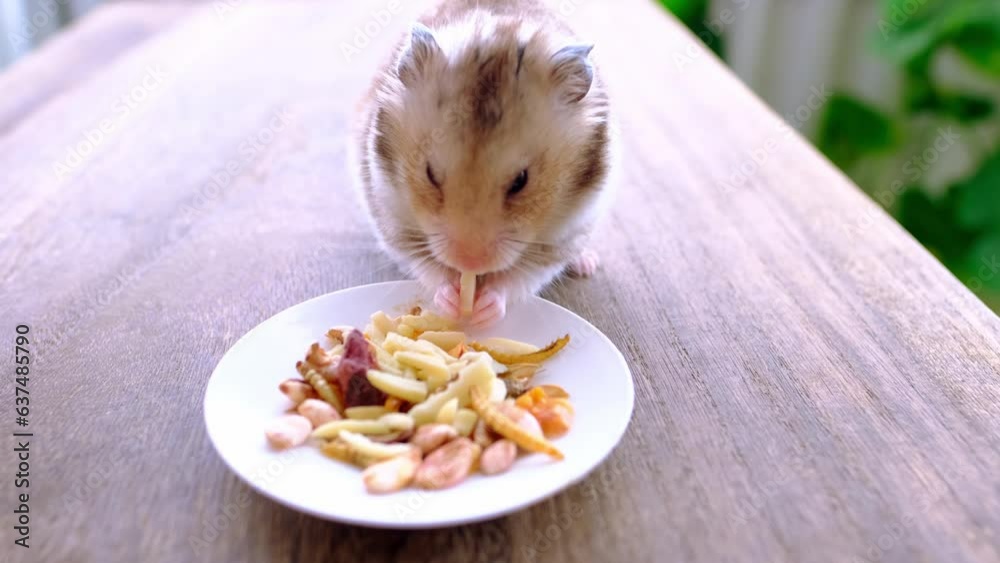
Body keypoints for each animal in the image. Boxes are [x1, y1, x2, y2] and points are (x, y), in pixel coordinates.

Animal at [352, 0, 616, 327]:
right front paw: (453, 300)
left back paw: (586, 265)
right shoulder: (390, 215)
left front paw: (484, 307)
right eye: (430, 174)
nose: (469, 262)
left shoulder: (566, 235)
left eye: (521, 182)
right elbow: (424, 264)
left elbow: (523, 276)